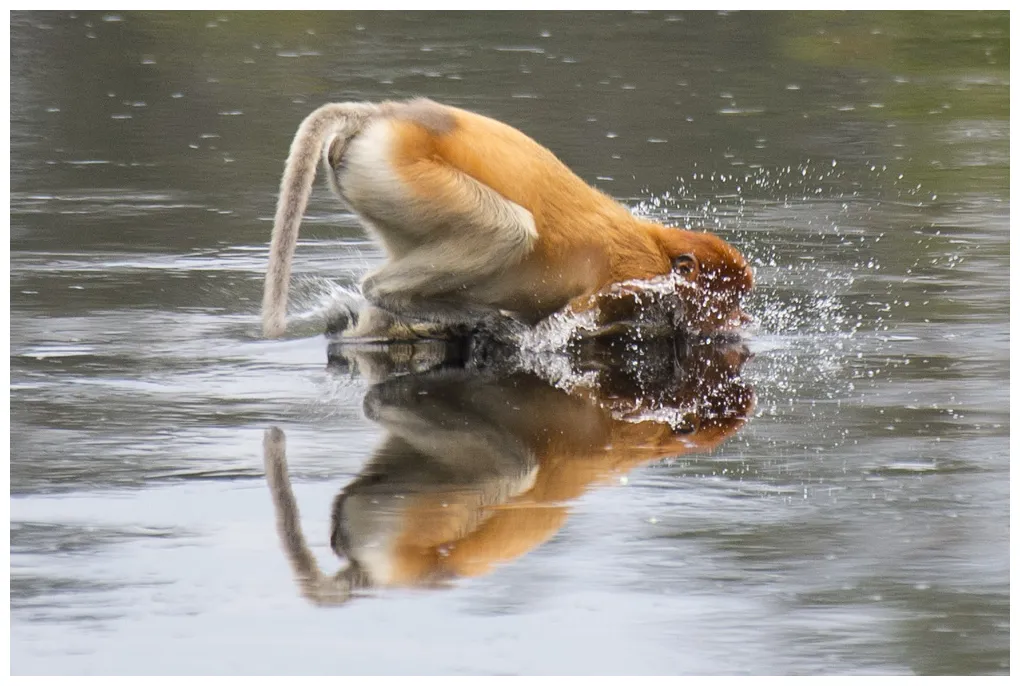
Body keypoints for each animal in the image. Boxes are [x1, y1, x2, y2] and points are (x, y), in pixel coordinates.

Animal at [262, 98, 753, 342]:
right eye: (725, 299)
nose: (739, 319)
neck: (658, 249)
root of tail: (382, 116)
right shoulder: (632, 280)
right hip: (401, 170)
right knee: (509, 230)